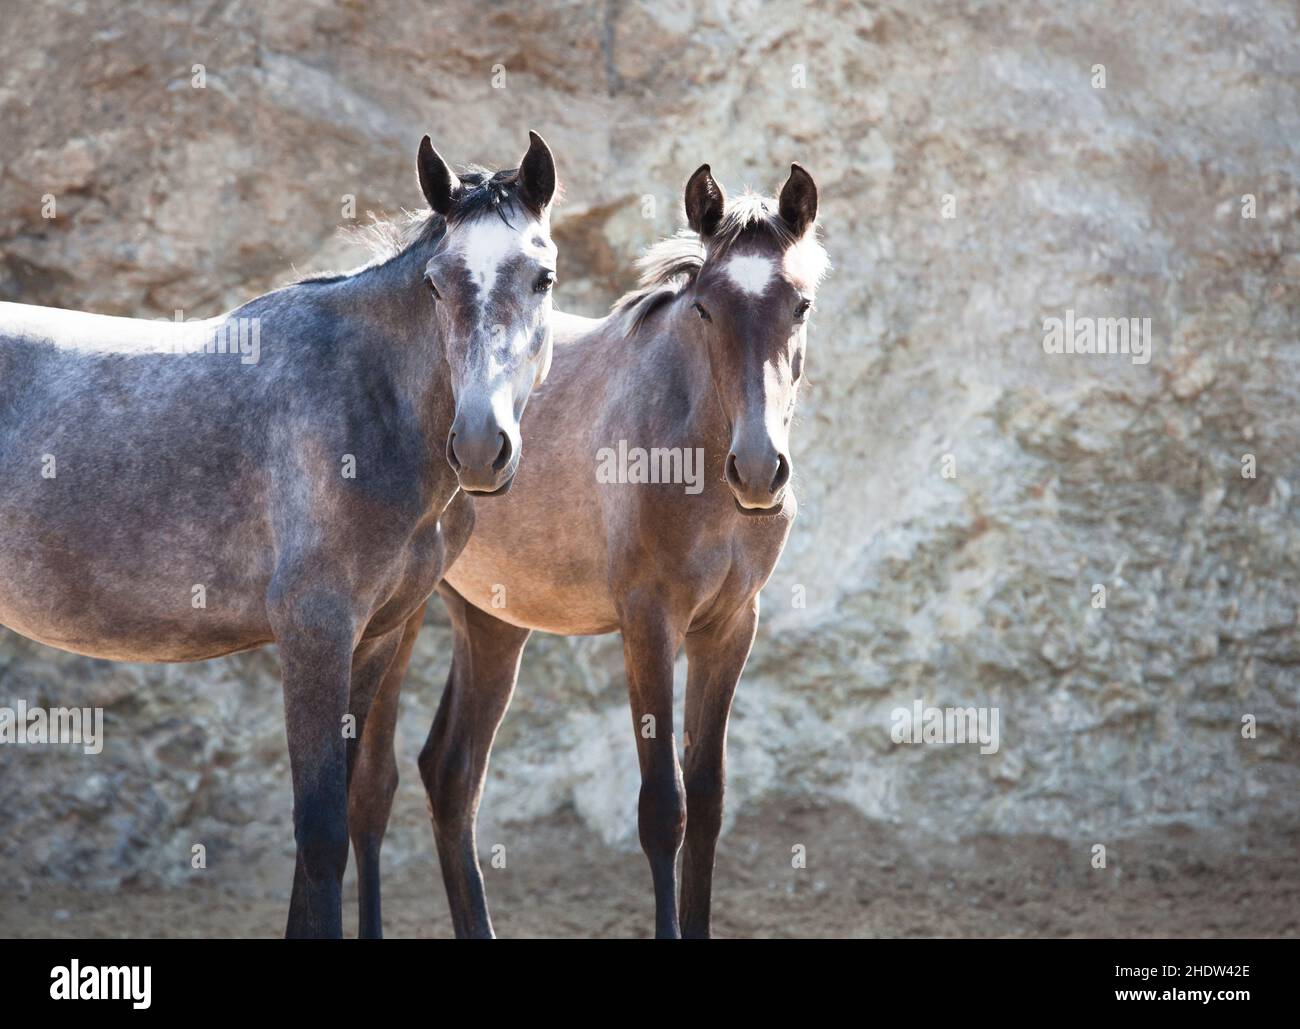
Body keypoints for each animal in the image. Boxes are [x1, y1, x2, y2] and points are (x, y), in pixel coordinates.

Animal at [0, 131, 560, 938]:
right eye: (435, 284)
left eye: (542, 277)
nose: (483, 447)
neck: (368, 400)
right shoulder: (314, 630)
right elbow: (320, 832)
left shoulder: (375, 638)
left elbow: (341, 815)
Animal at [361, 162, 827, 937]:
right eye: (705, 310)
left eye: (801, 305)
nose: (760, 470)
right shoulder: (648, 623)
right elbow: (663, 809)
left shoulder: (730, 627)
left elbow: (708, 801)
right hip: (395, 621)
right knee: (371, 784)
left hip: (493, 622)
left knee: (451, 774)